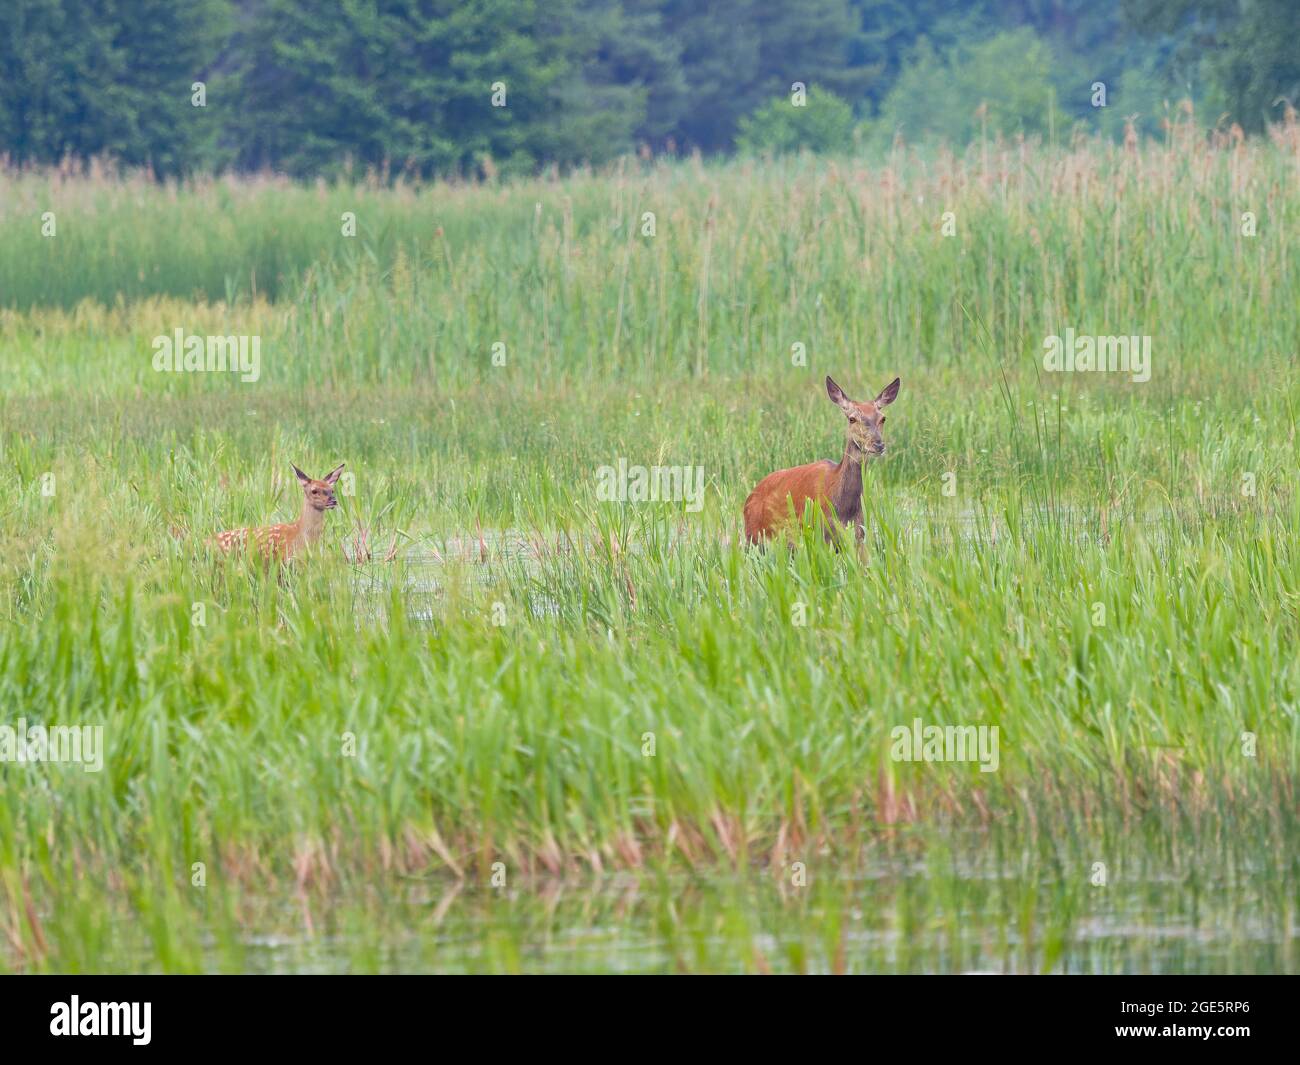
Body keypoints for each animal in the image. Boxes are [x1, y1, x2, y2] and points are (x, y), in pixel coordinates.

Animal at [743, 376, 899, 546]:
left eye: (883, 418)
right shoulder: (819, 534)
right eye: (852, 419)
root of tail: (748, 500)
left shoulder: (859, 533)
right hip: (754, 537)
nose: (878, 444)